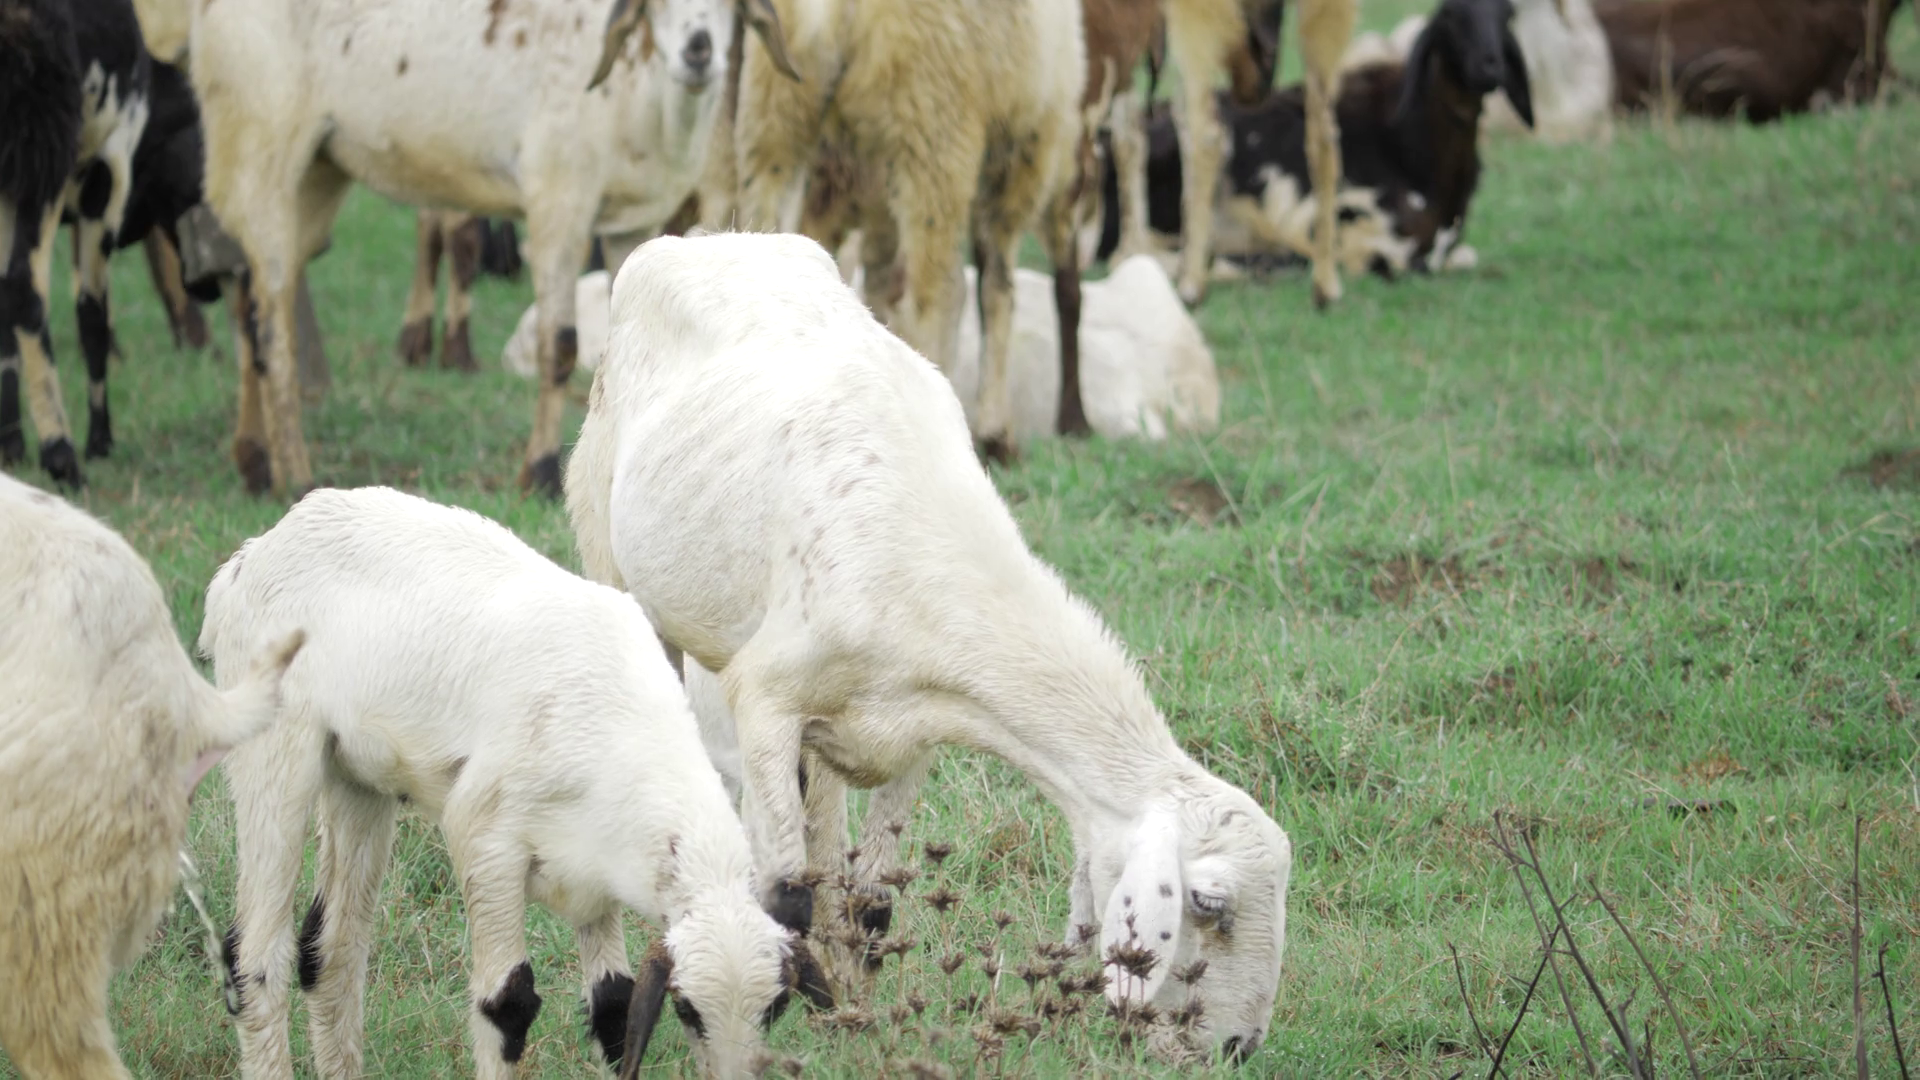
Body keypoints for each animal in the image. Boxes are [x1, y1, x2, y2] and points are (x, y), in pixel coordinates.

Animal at [1, 0, 149, 489]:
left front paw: (11, 446)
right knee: (25, 287)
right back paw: (60, 452)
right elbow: (93, 316)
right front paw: (99, 439)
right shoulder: (109, 172)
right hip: (43, 145)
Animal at [131, 0, 786, 499]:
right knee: (270, 323)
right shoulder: (558, 201)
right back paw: (295, 472)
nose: (699, 49)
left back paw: (254, 460)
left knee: (250, 298)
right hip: (257, 142)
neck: (641, 87)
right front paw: (539, 473)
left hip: (317, 170)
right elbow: (560, 346)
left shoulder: (633, 223)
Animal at [200, 485, 831, 1080]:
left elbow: (614, 1005)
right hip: (277, 750)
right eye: (686, 1010)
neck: (626, 726)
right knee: (256, 957)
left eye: (775, 1009)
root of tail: (253, 555)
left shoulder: (597, 874)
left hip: (359, 780)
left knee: (330, 953)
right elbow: (508, 1004)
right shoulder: (484, 839)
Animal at [566, 231, 1292, 1060]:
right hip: (608, 547)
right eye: (1208, 901)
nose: (1240, 1049)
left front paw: (851, 1008)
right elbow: (783, 900)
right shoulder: (766, 699)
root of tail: (706, 239)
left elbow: (872, 897)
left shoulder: (913, 728)